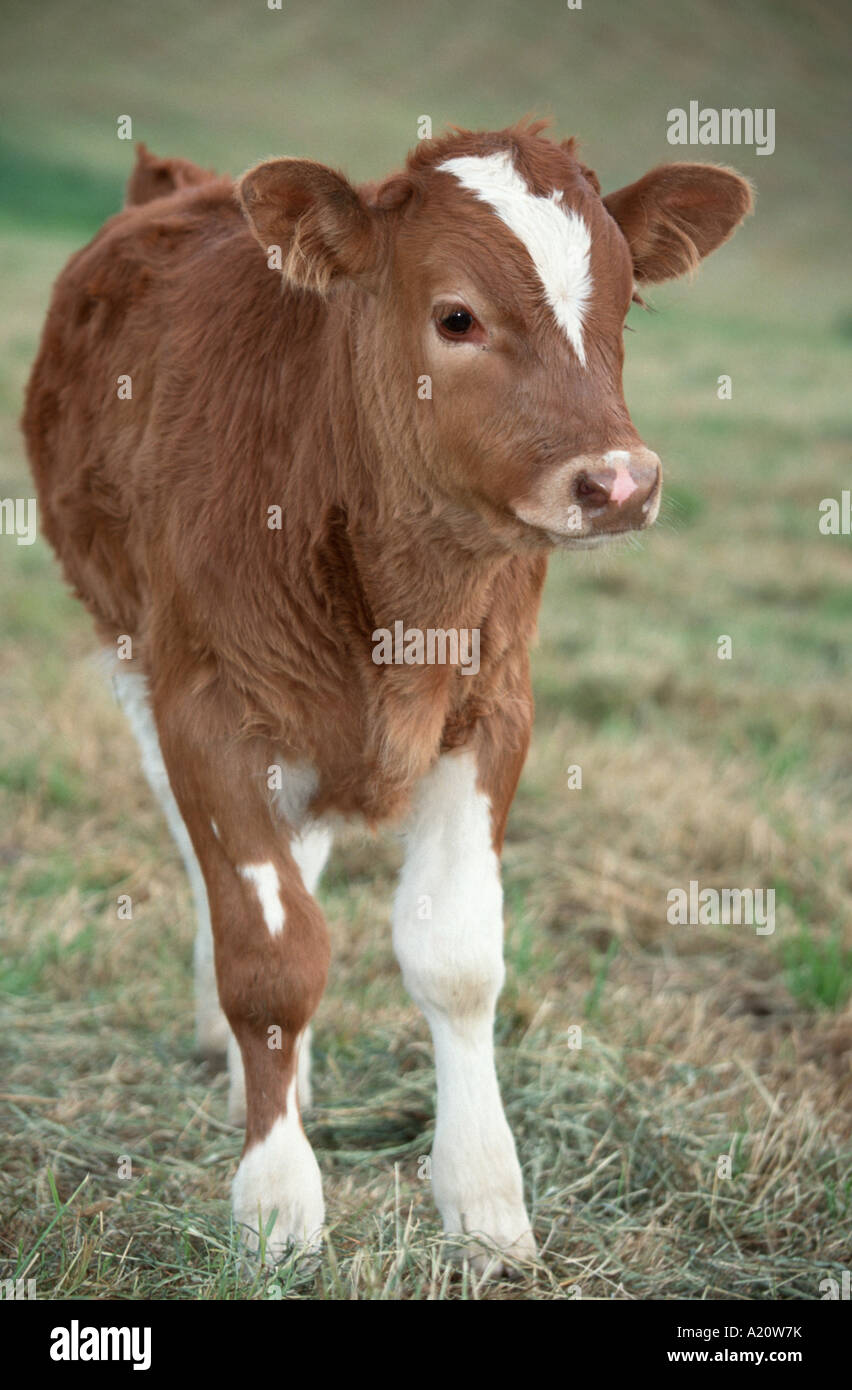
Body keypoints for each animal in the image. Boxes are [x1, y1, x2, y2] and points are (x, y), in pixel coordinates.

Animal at [22, 121, 752, 1274]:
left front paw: (487, 1200)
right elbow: (271, 957)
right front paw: (277, 1199)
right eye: (457, 316)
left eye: (625, 304)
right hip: (130, 650)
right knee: (217, 859)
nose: (622, 482)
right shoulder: (203, 705)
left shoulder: (493, 710)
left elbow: (455, 959)